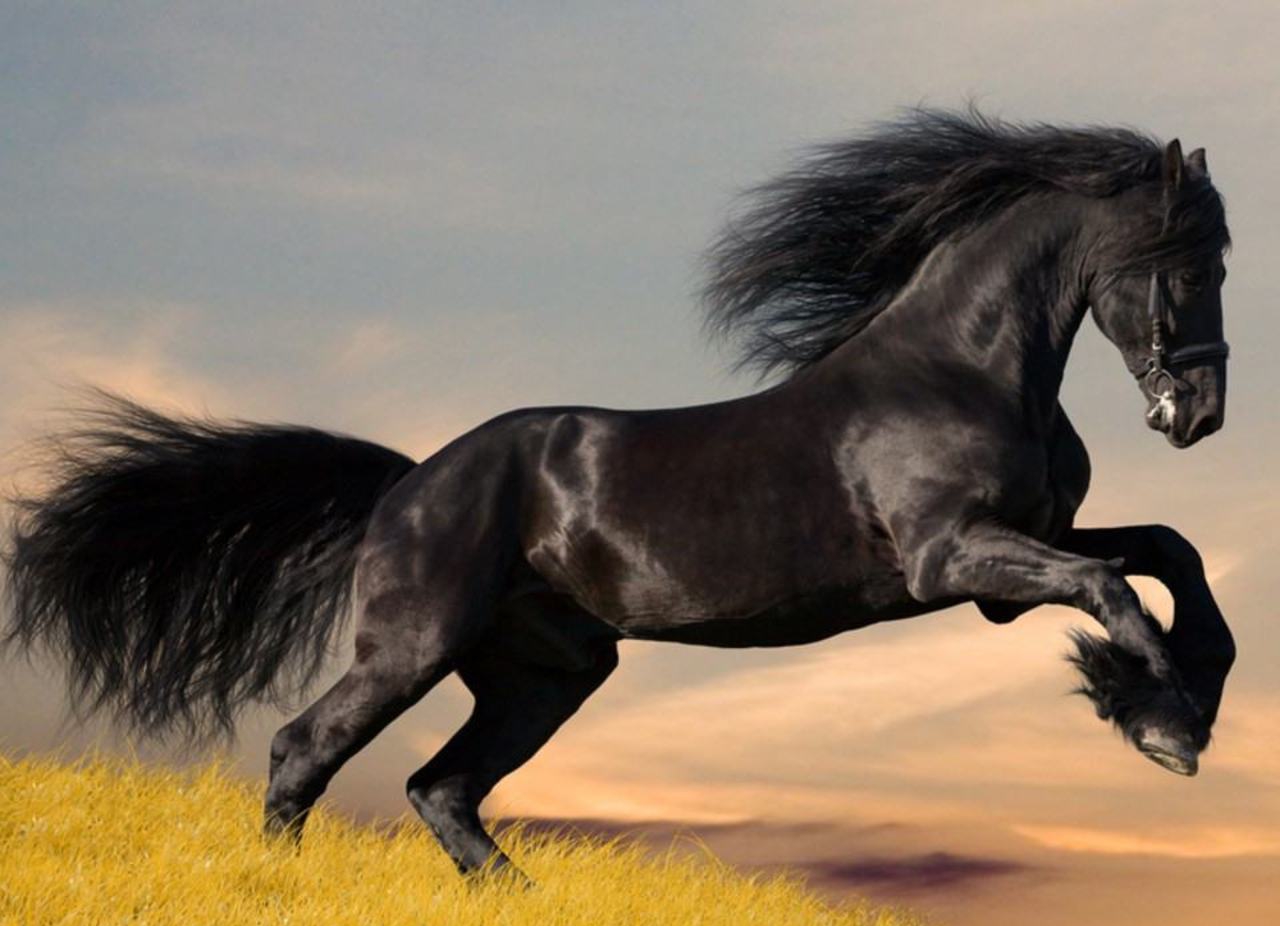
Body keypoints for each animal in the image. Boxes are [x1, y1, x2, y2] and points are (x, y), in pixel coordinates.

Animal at [3, 109, 1236, 881]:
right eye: (1187, 261)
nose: (1201, 414)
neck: (960, 368)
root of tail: (408, 482)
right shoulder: (954, 561)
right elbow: (1111, 587)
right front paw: (1160, 722)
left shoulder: (1014, 557)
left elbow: (1167, 552)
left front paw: (1180, 696)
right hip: (413, 645)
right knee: (306, 749)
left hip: (546, 673)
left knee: (441, 786)